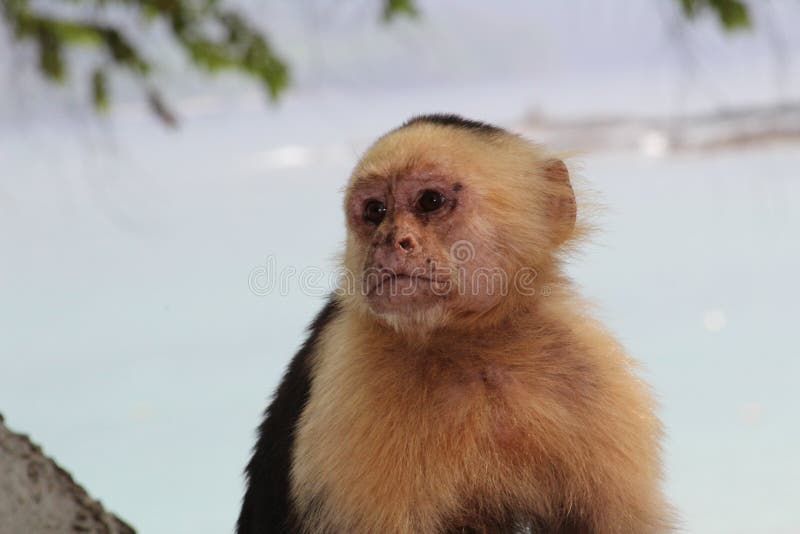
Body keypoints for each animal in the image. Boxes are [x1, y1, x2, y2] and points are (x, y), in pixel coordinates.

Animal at [237, 114, 674, 534]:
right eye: (375, 211)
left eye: (430, 201)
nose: (388, 241)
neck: (468, 343)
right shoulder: (348, 381)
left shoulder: (589, 370)